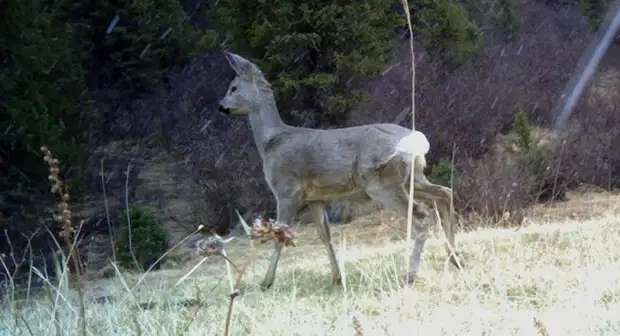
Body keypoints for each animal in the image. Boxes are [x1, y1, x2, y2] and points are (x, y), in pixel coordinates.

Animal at [216, 51, 462, 288]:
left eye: (233, 87)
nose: (221, 106)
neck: (271, 142)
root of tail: (417, 140)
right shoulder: (314, 197)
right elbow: (324, 234)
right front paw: (336, 278)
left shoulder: (286, 190)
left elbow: (280, 234)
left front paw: (266, 281)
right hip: (414, 177)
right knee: (445, 193)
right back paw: (454, 258)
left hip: (383, 183)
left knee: (422, 217)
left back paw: (410, 275)